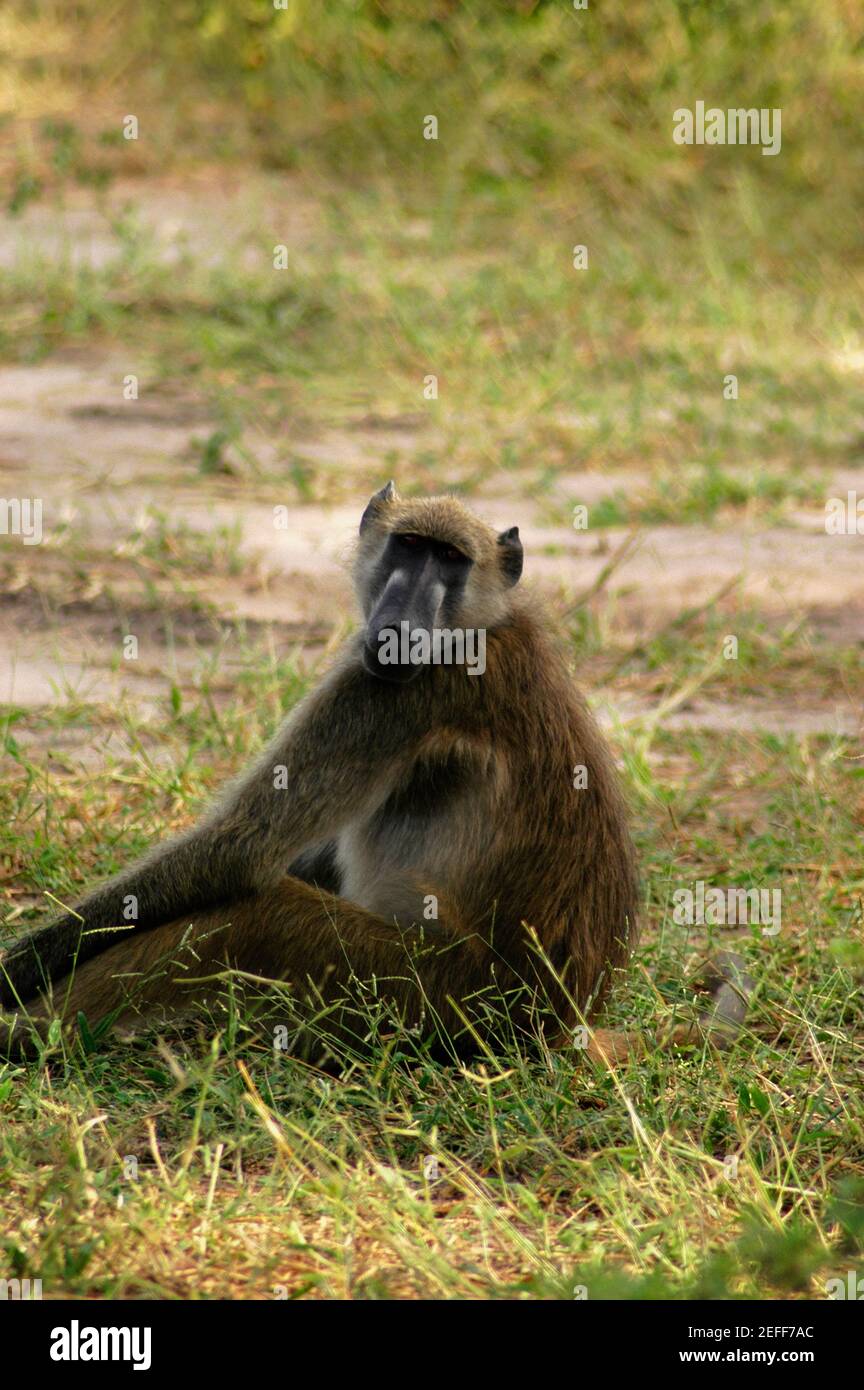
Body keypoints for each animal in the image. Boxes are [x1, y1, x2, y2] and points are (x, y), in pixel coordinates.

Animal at [0, 484, 747, 1063]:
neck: (480, 626)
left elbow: (237, 852)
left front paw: (10, 976)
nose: (401, 621)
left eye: (450, 560)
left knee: (255, 917)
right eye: (408, 547)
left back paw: (26, 1039)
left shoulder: (385, 695)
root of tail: (556, 1023)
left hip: (434, 998)